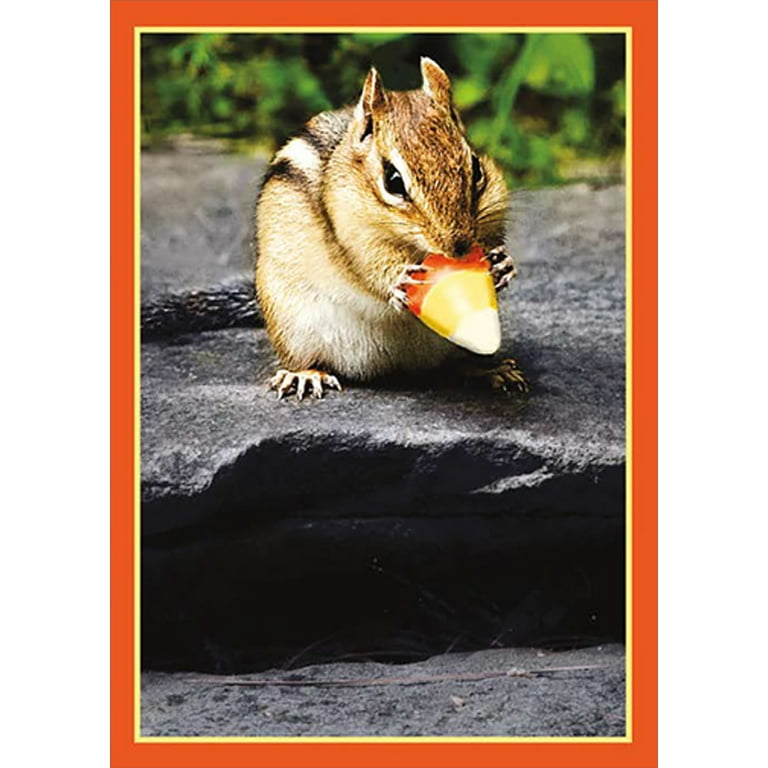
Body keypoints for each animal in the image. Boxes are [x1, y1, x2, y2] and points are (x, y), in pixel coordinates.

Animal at [255, 57, 525, 400]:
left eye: (476, 168)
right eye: (393, 181)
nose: (460, 247)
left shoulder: (495, 206)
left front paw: (503, 264)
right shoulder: (355, 236)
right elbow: (371, 268)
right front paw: (399, 280)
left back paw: (489, 370)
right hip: (292, 326)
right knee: (302, 357)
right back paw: (305, 374)